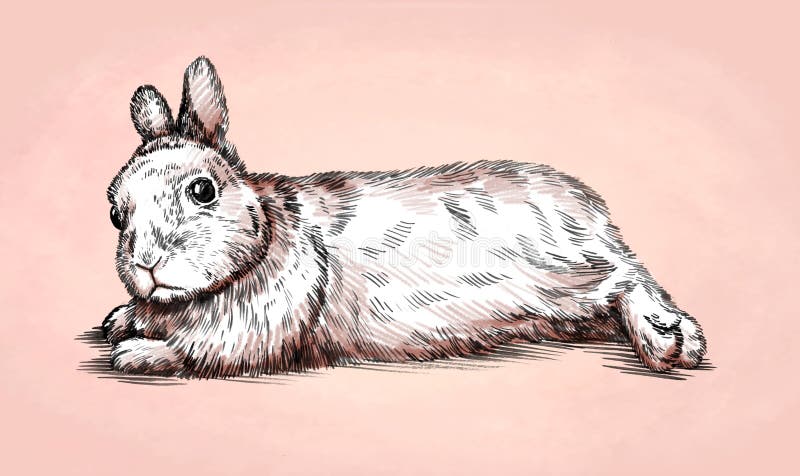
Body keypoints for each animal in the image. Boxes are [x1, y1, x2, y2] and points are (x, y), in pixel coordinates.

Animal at [102, 56, 707, 378]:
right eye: (115, 212)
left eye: (202, 190)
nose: (147, 264)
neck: (267, 232)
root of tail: (593, 209)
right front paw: (121, 320)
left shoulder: (258, 331)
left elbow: (199, 354)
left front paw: (136, 352)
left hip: (572, 268)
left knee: (630, 280)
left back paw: (670, 341)